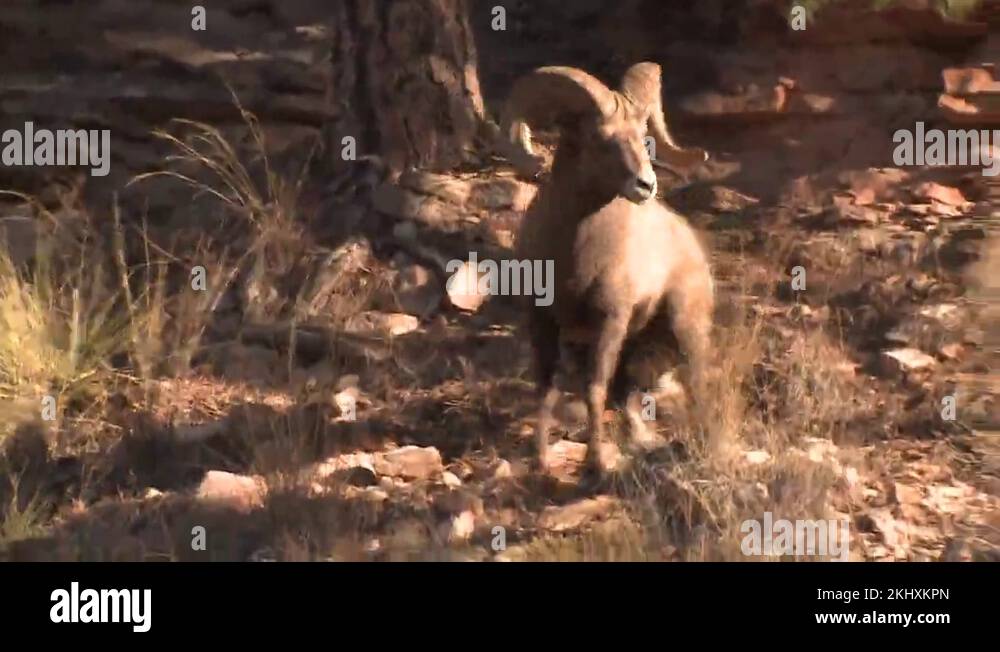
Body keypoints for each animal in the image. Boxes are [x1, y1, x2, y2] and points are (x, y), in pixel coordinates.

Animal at [498, 62, 715, 474]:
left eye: (643, 137)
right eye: (600, 139)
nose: (646, 185)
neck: (573, 258)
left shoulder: (608, 322)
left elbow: (594, 390)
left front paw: (595, 464)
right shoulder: (542, 322)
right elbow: (546, 388)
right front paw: (540, 461)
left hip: (683, 327)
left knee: (697, 381)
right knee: (627, 394)